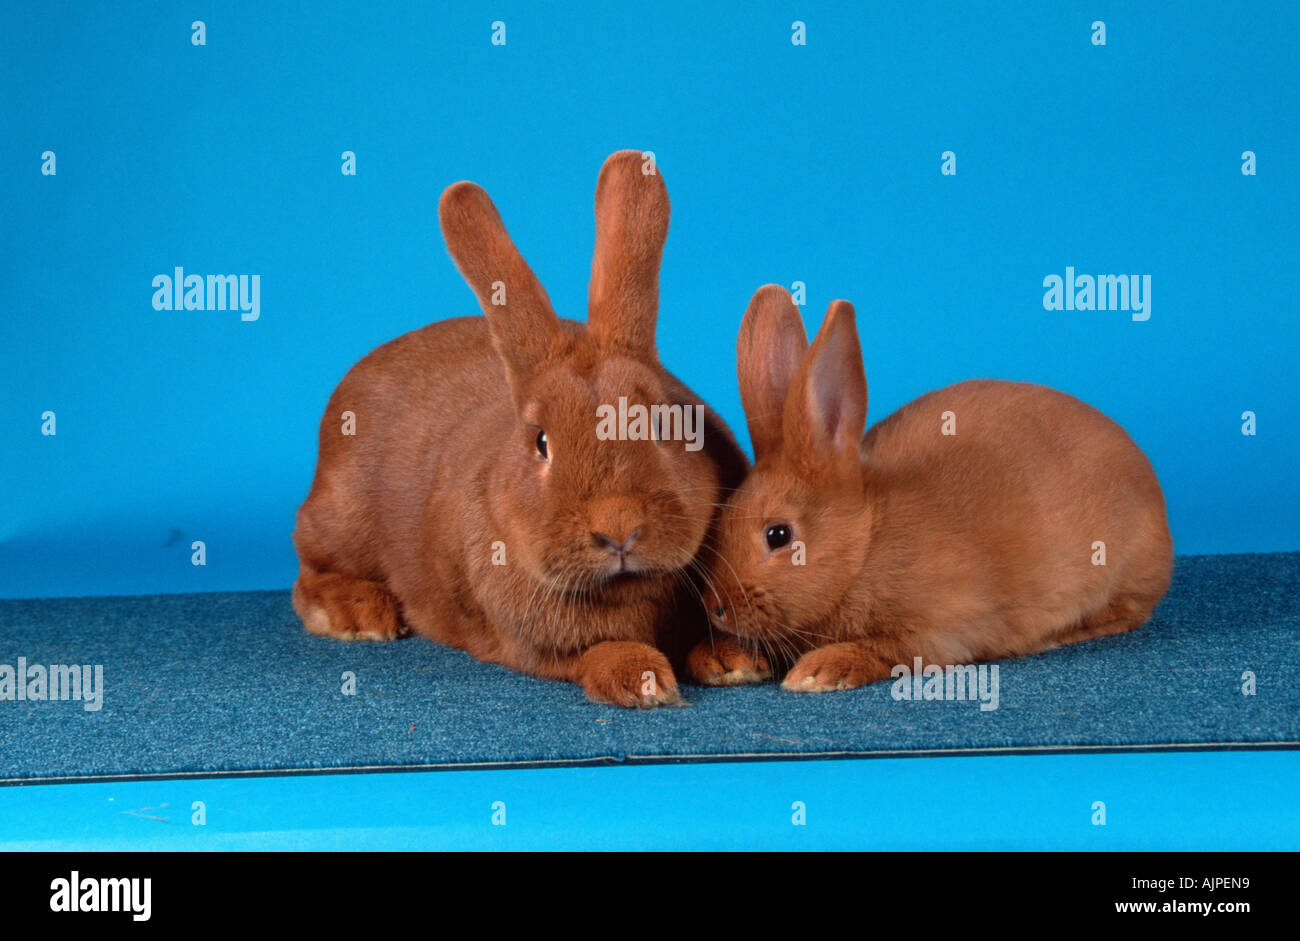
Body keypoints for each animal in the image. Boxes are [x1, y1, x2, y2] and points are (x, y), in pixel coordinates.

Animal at [291, 151, 768, 707]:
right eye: (541, 442)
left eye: (661, 421)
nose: (619, 528)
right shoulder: (529, 645)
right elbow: (591, 655)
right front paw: (641, 679)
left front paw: (735, 661)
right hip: (341, 520)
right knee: (308, 571)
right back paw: (362, 613)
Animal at [697, 284, 1173, 692]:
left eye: (778, 535)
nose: (715, 608)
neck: (864, 546)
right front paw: (722, 660)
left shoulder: (941, 631)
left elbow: (890, 649)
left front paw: (821, 670)